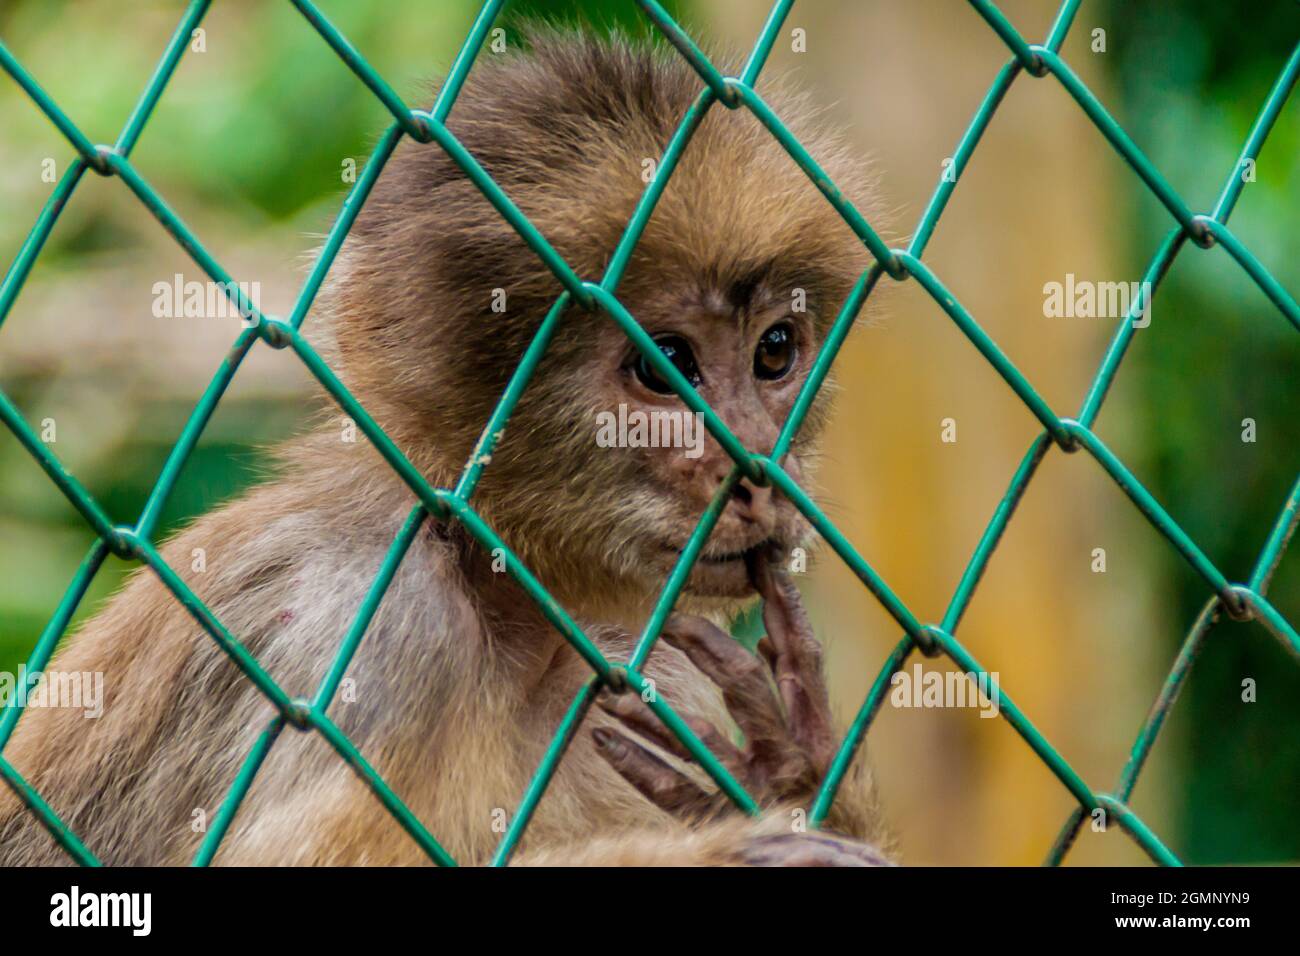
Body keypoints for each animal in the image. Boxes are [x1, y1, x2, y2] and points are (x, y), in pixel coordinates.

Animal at [0, 25, 891, 867]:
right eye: (662, 365)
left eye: (774, 351)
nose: (761, 470)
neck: (501, 609)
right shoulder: (363, 621)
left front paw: (788, 782)